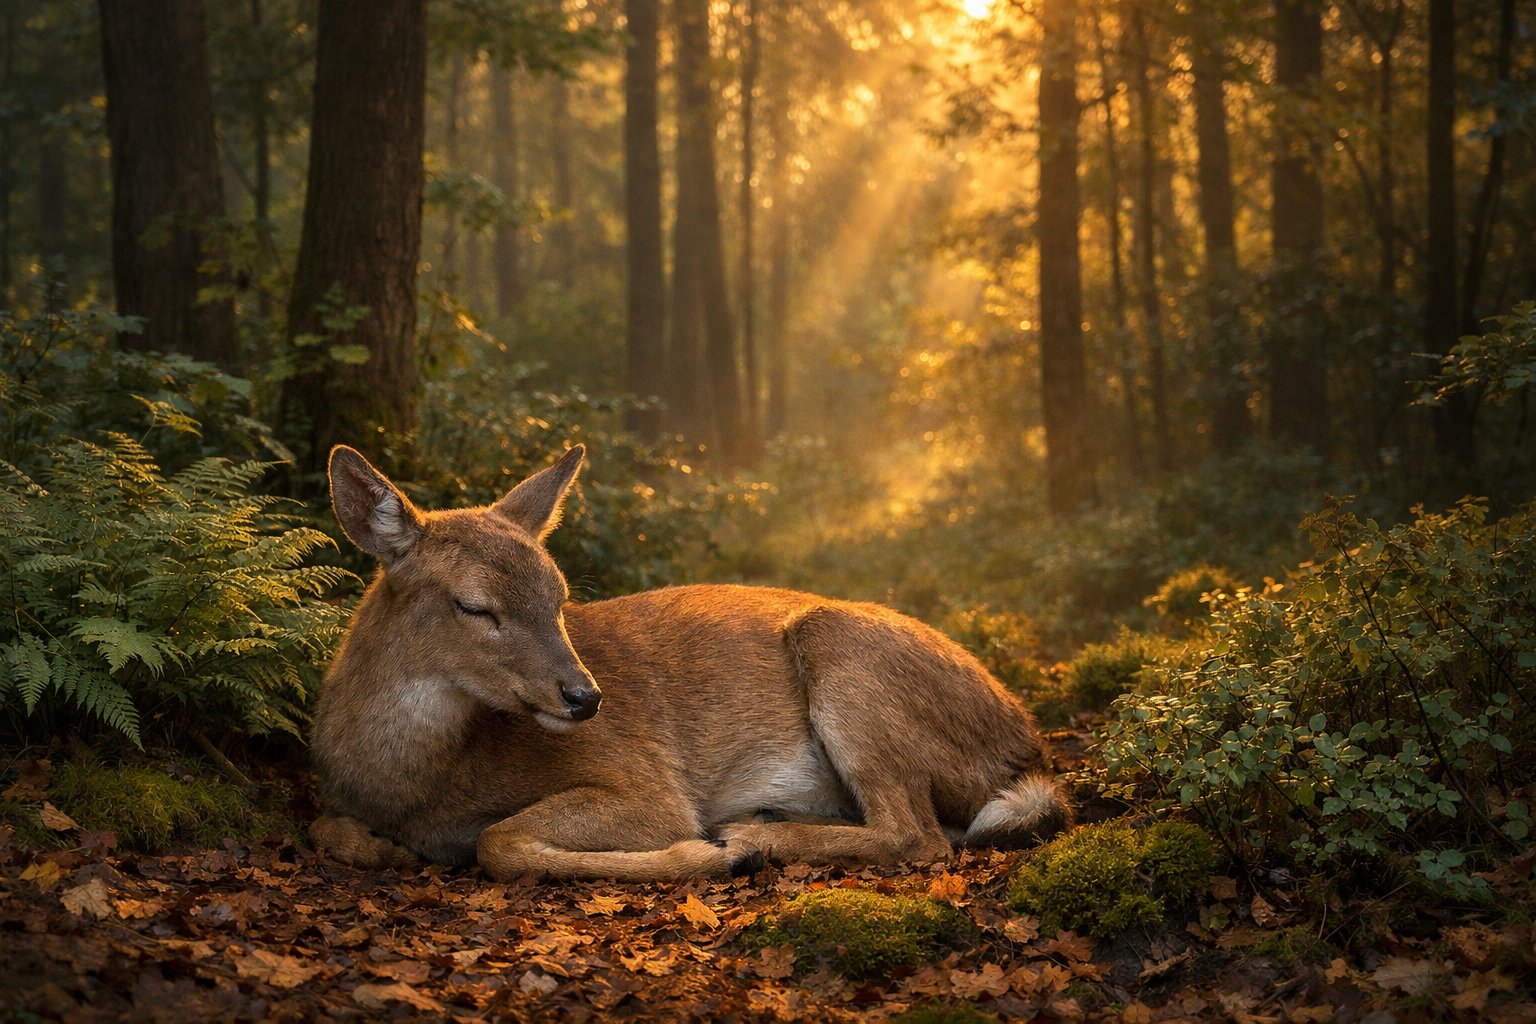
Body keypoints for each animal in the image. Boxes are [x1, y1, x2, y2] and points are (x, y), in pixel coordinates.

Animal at [309, 444, 1071, 882]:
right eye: (474, 606)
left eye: (560, 597)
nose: (585, 697)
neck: (415, 782)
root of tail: (1026, 741)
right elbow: (330, 831)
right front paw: (383, 849)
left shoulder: (646, 784)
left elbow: (499, 842)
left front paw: (707, 852)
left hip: (844, 657)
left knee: (919, 835)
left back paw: (753, 836)